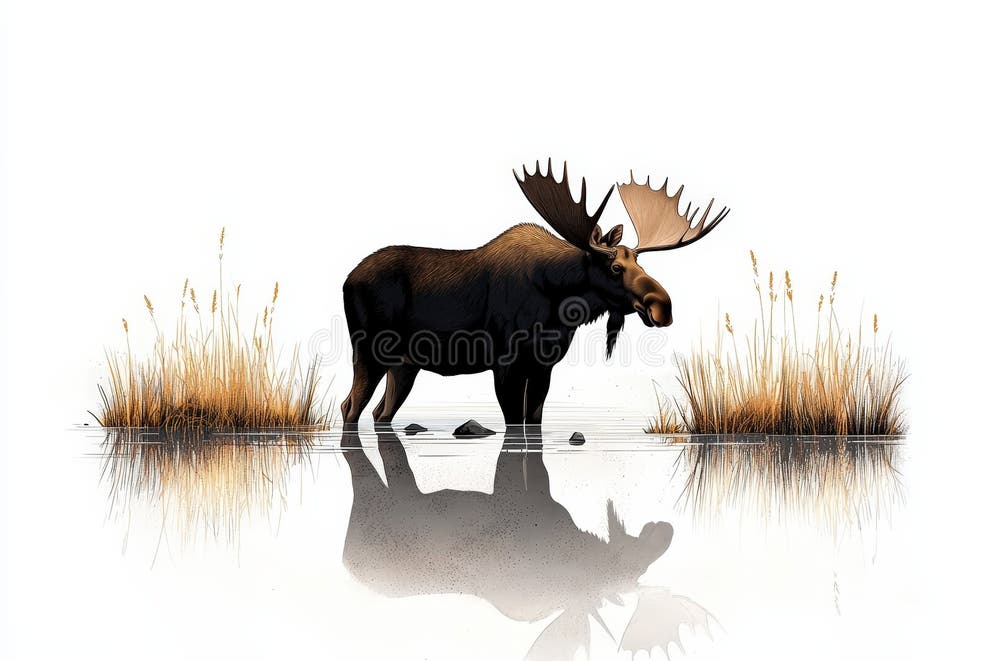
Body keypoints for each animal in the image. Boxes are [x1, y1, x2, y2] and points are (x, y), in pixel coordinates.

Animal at [340, 161, 729, 427]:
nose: (663, 306)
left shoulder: (544, 366)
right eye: (616, 268)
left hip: (405, 364)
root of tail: (346, 279)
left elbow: (534, 421)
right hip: (370, 351)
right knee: (350, 406)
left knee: (381, 412)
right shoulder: (506, 364)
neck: (559, 306)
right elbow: (515, 423)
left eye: (638, 261)